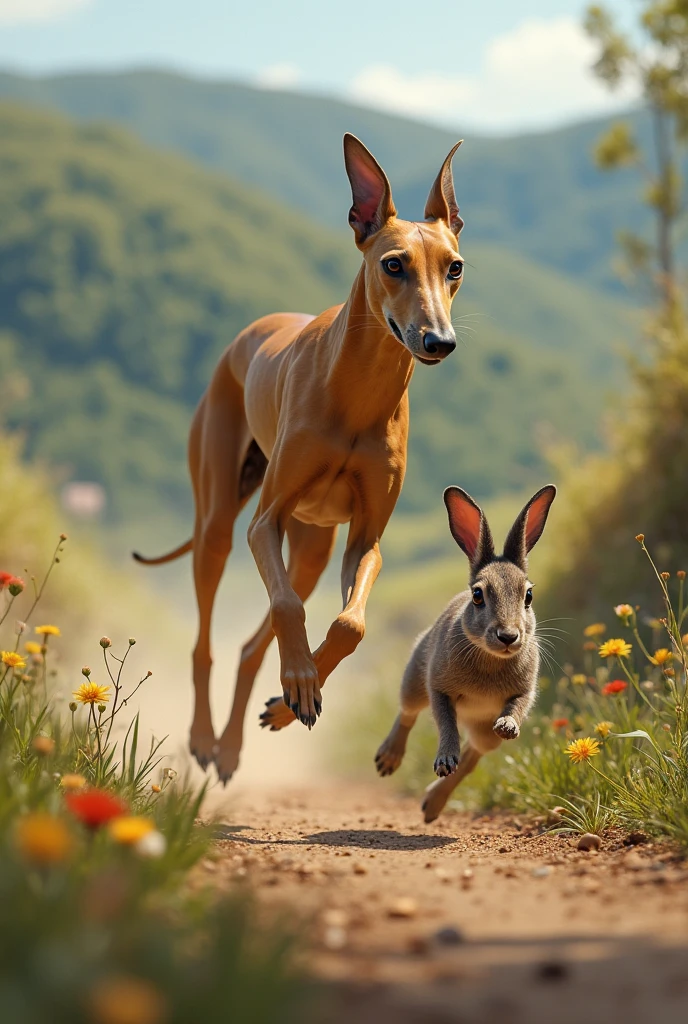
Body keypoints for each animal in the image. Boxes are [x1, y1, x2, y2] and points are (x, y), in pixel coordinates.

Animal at [375, 483, 556, 822]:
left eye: (528, 595)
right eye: (477, 596)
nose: (508, 636)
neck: (491, 657)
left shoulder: (524, 692)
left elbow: (516, 707)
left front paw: (508, 726)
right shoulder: (439, 688)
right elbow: (446, 724)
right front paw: (445, 759)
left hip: (482, 733)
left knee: (474, 755)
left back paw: (431, 805)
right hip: (415, 679)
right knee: (407, 712)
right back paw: (388, 759)